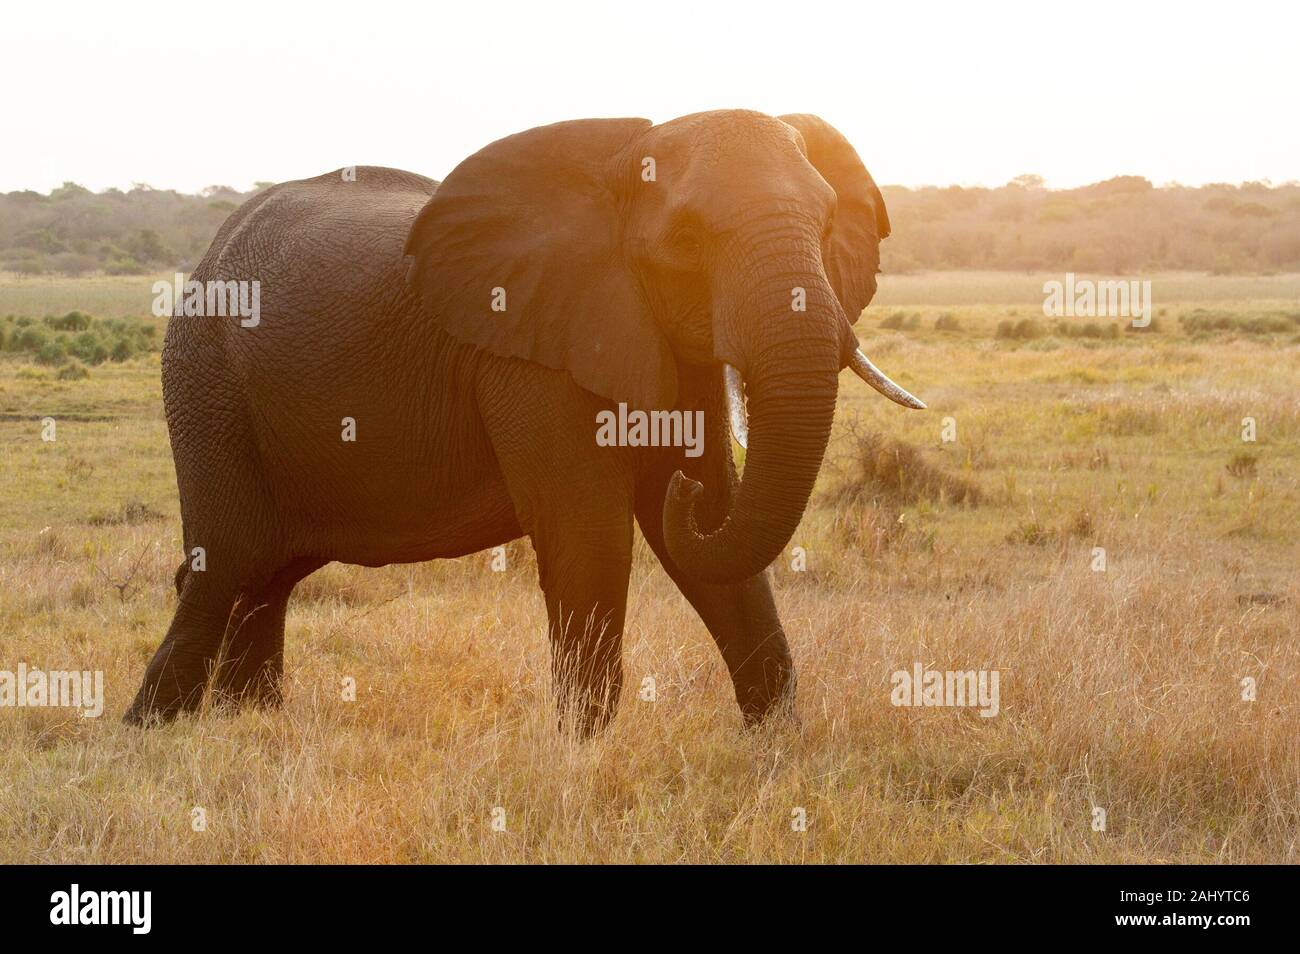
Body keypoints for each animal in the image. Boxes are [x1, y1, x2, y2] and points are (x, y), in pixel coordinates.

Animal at [124, 109, 924, 735]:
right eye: (687, 239)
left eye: (828, 224)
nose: (688, 497)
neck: (622, 165)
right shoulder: (531, 350)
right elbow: (589, 531)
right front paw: (582, 759)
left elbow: (721, 544)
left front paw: (776, 750)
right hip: (205, 379)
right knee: (226, 560)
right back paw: (150, 733)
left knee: (265, 573)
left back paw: (250, 725)